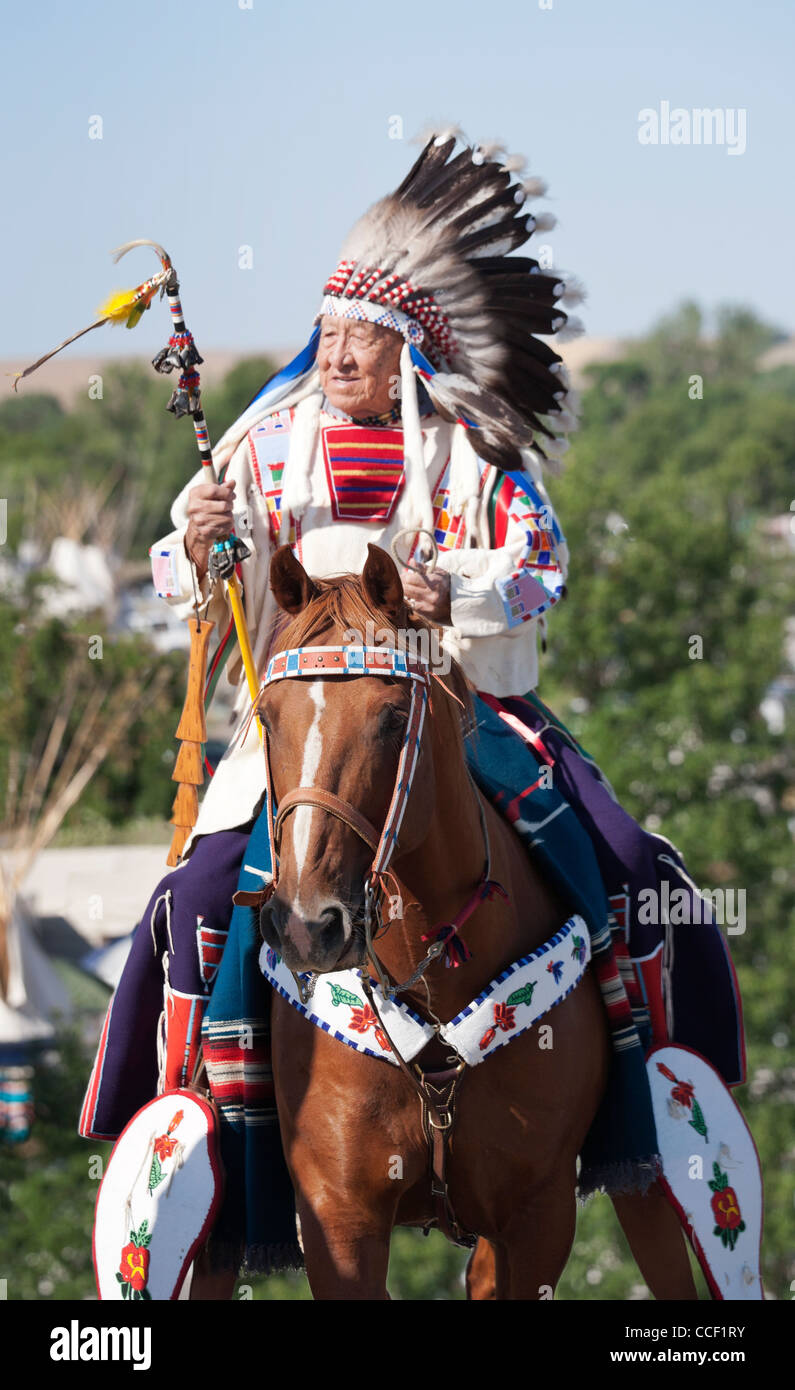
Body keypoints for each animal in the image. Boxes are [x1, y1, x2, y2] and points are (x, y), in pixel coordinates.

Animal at [215, 542, 697, 1300]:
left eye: (391, 716)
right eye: (268, 715)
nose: (307, 925)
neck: (431, 986)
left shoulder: (536, 1217)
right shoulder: (338, 1218)